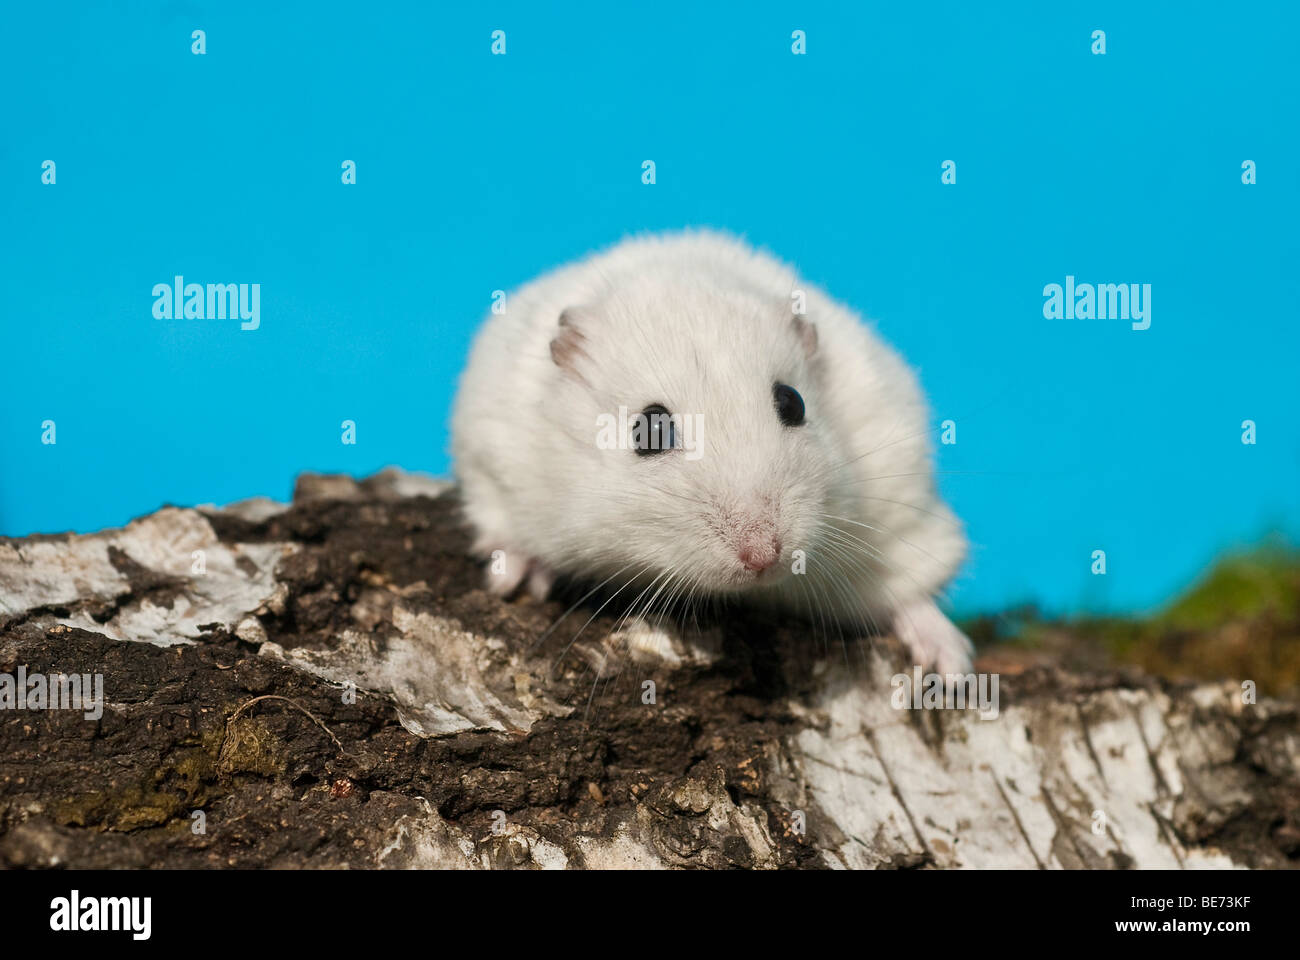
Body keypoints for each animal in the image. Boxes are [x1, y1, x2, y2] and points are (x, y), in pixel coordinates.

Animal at [450, 230, 973, 674]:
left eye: (793, 402)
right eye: (649, 429)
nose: (764, 558)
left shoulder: (901, 498)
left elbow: (911, 588)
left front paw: (953, 670)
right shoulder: (495, 466)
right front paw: (515, 582)